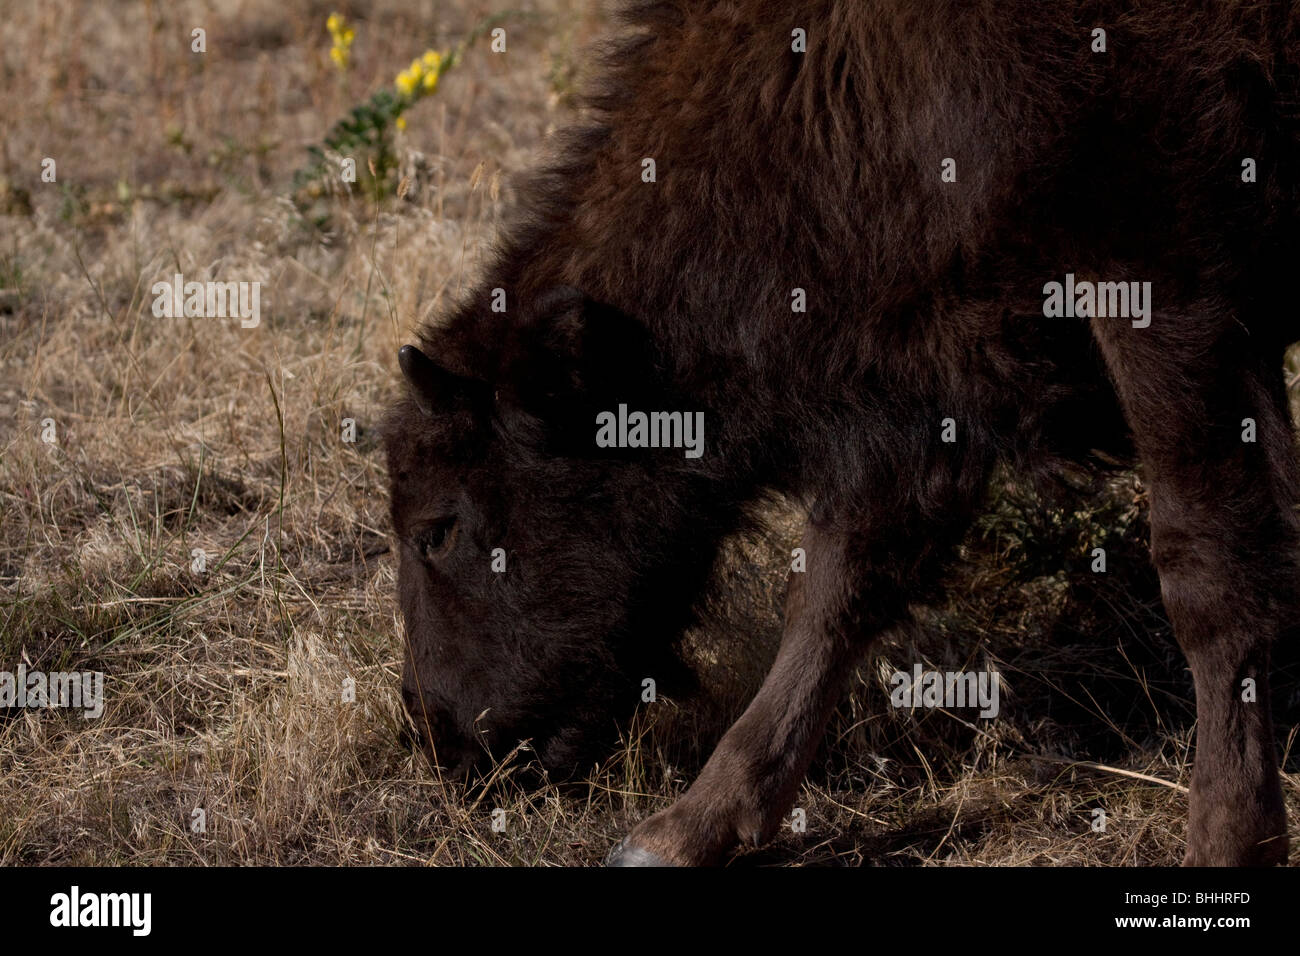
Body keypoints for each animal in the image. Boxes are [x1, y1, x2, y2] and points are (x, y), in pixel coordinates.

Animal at [384, 0, 1300, 866]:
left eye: (438, 529)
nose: (444, 743)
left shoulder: (1166, 292)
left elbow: (1205, 571)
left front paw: (1228, 838)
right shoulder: (926, 378)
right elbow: (837, 590)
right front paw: (681, 830)